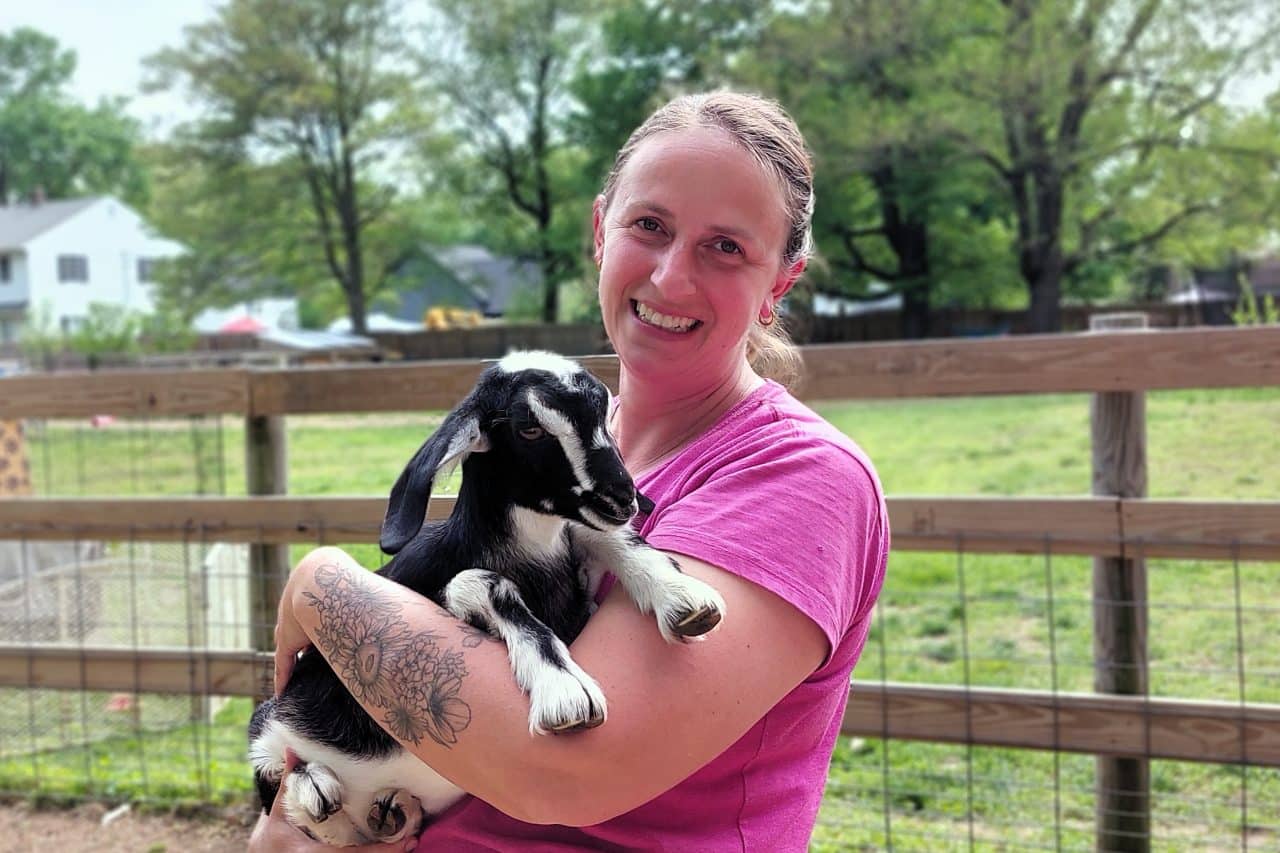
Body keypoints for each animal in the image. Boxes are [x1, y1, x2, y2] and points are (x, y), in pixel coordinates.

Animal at [248, 350, 727, 846]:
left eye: (603, 411)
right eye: (529, 429)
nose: (621, 497)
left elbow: (598, 538)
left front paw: (682, 596)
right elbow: (483, 581)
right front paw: (564, 691)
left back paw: (391, 811)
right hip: (272, 722)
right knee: (288, 787)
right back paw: (316, 793)